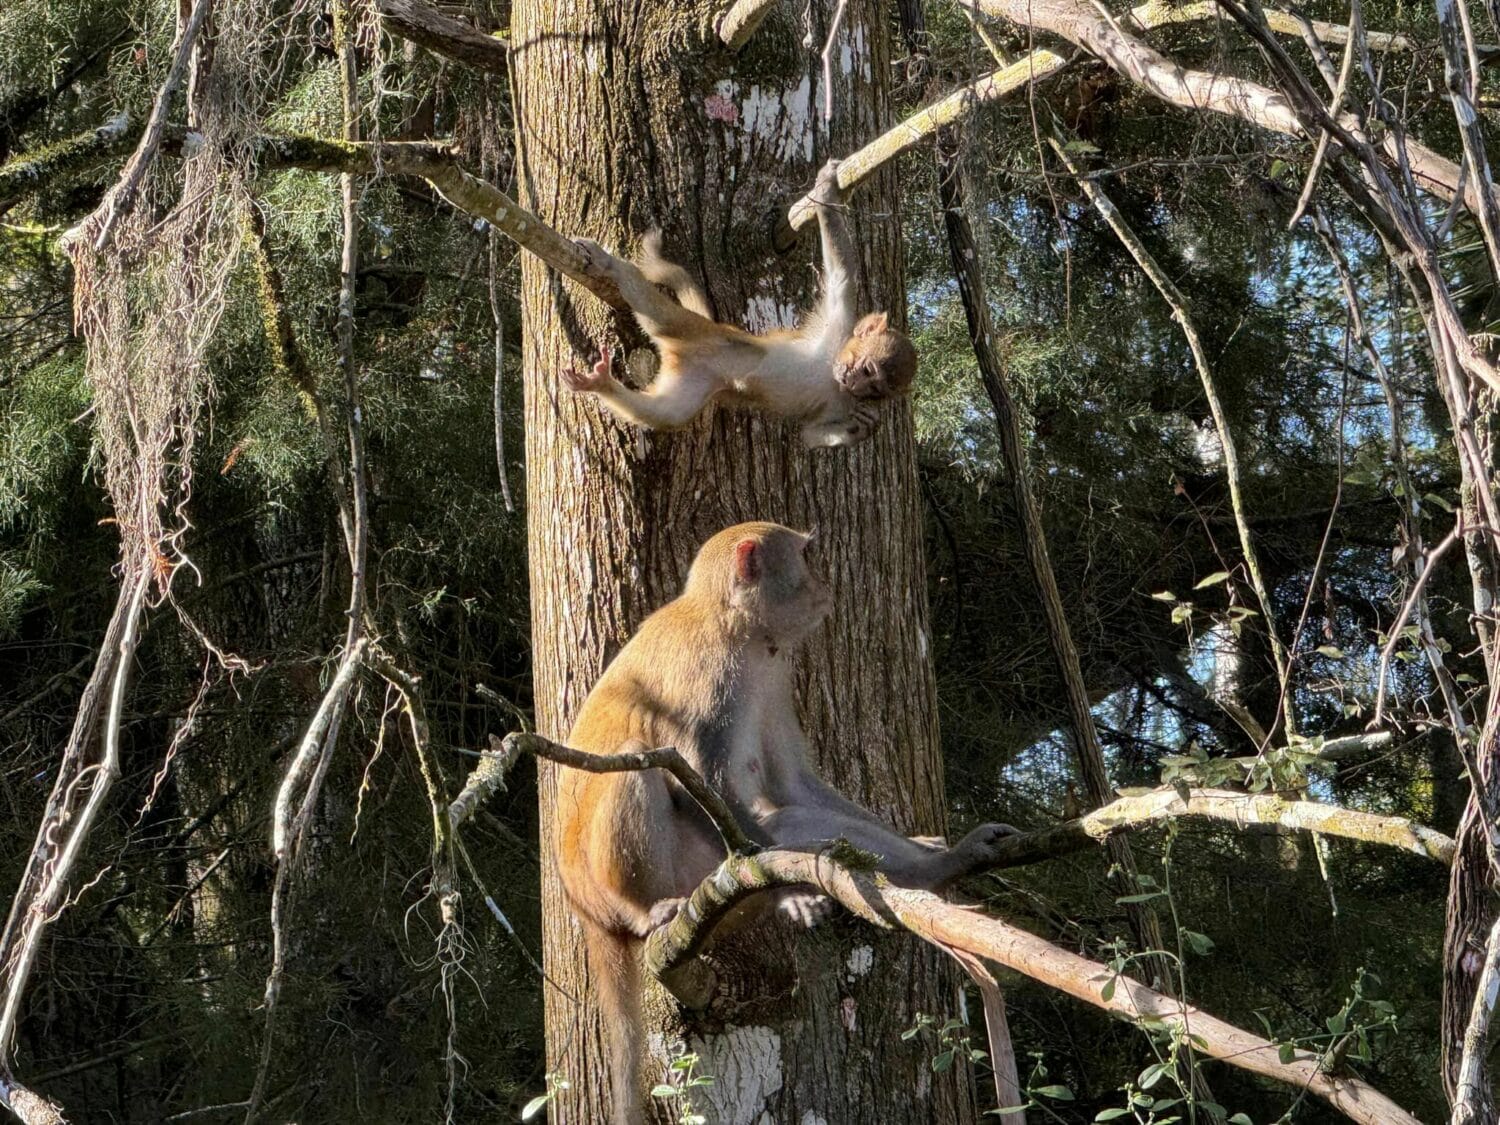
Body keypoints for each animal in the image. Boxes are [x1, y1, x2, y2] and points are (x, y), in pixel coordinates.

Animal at [554, 521, 1018, 1124]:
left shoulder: (774, 674)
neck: (733, 623)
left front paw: (935, 852)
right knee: (641, 763)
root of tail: (582, 905)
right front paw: (793, 893)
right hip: (634, 877)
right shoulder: (710, 676)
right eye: (807, 555)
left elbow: (792, 786)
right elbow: (710, 789)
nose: (826, 585)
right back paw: (647, 909)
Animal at [563, 159, 919, 448]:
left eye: (875, 389)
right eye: (867, 369)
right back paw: (612, 267)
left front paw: (862, 429)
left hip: (698, 381)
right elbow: (841, 271)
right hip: (700, 332)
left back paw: (602, 385)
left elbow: (809, 435)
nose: (854, 382)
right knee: (661, 317)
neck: (832, 376)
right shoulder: (839, 322)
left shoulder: (843, 407)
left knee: (667, 413)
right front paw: (828, 187)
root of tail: (681, 353)